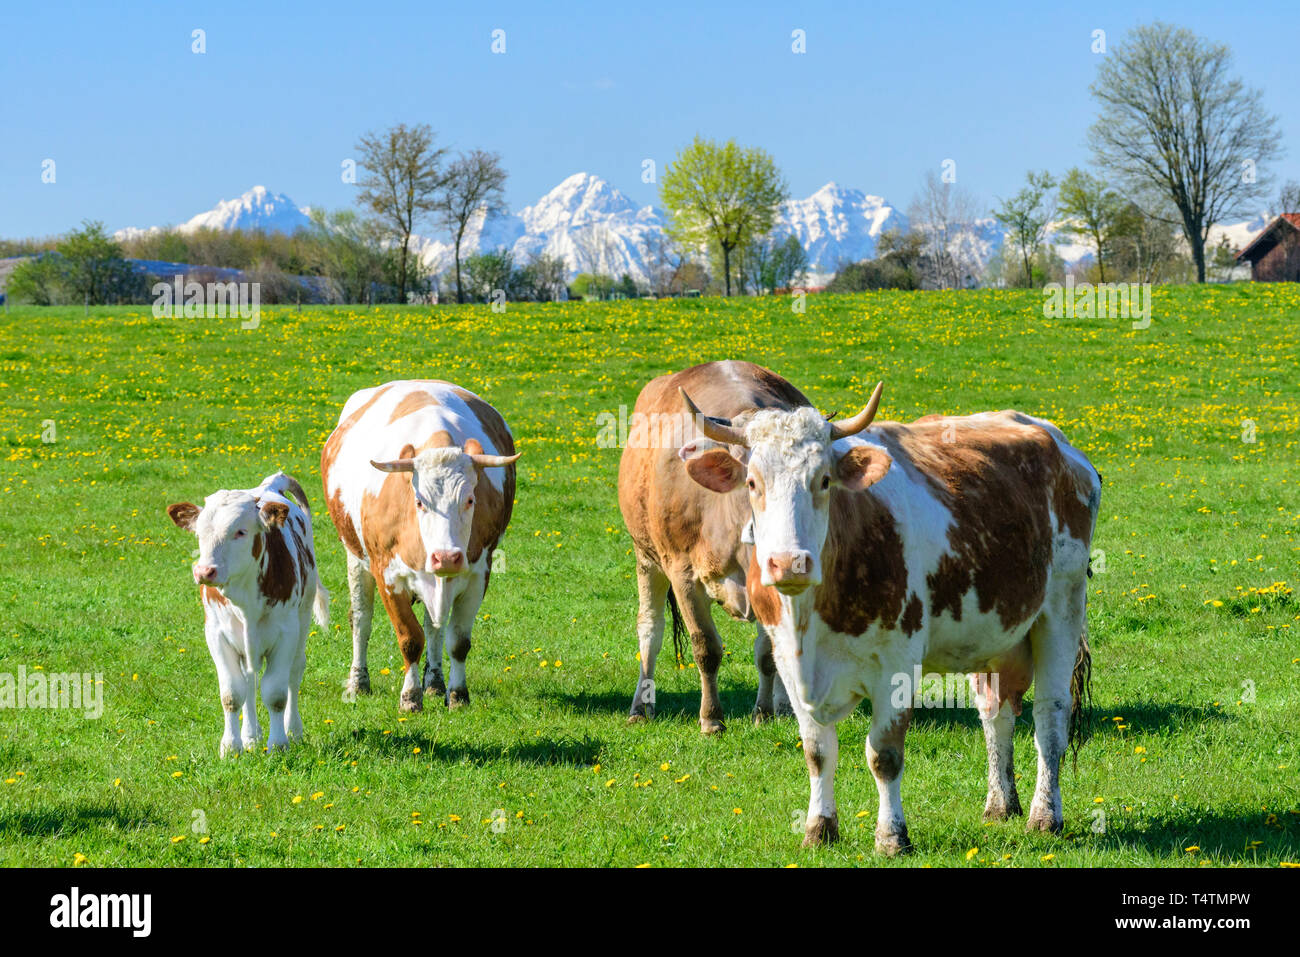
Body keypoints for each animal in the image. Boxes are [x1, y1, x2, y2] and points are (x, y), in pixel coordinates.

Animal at [167, 471, 328, 757]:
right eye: (200, 533)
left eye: (240, 532)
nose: (204, 571)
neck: (245, 600)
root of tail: (270, 483)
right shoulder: (216, 634)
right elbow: (232, 693)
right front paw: (232, 746)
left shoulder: (285, 635)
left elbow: (276, 693)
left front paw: (278, 744)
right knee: (250, 679)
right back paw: (251, 736)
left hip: (303, 616)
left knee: (295, 671)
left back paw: (293, 731)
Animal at [320, 380, 518, 713]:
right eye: (419, 502)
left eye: (470, 500)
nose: (447, 557)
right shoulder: (387, 575)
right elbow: (409, 639)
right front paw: (410, 697)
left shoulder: (479, 574)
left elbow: (458, 641)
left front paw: (457, 694)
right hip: (354, 557)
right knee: (361, 620)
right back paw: (359, 682)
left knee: (434, 627)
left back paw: (435, 683)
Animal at [618, 360, 807, 734]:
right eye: (753, 478)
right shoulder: (683, 575)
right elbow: (706, 647)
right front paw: (711, 718)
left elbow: (767, 652)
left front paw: (764, 711)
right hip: (646, 556)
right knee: (650, 629)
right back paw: (640, 707)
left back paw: (783, 705)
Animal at [679, 378, 1099, 853]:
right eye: (752, 482)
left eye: (824, 480)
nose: (789, 563)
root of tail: (1056, 440)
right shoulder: (787, 661)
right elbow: (817, 752)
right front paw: (819, 829)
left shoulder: (897, 666)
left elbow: (884, 755)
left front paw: (892, 836)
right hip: (998, 631)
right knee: (996, 713)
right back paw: (999, 805)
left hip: (1061, 609)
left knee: (1051, 716)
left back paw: (1045, 815)